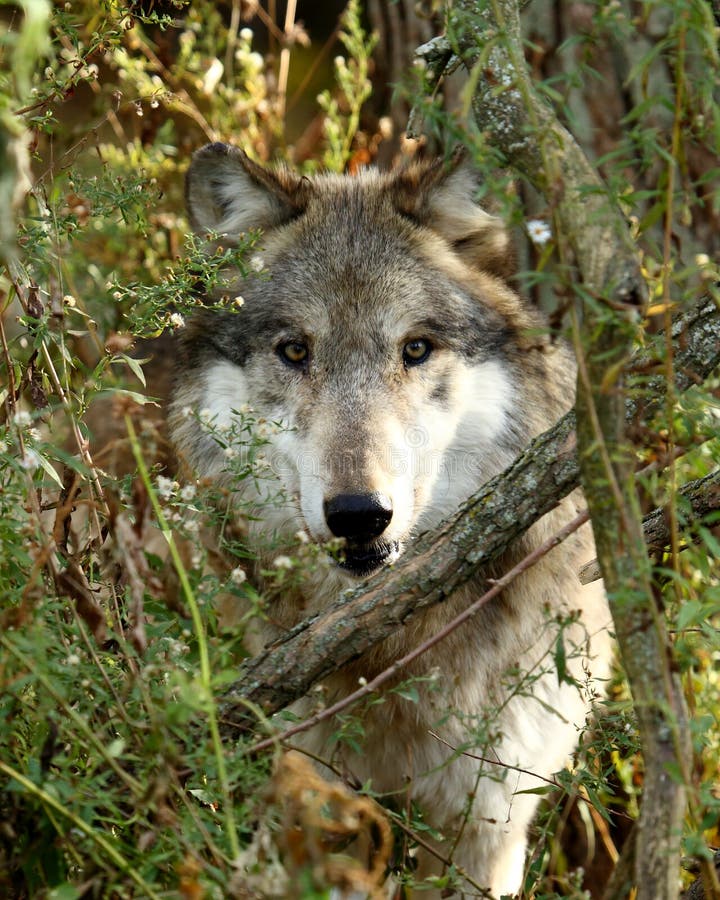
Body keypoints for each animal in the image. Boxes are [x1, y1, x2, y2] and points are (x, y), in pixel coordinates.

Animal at [169, 142, 612, 898]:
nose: (358, 516)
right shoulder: (310, 787)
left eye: (416, 349)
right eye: (295, 351)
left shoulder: (486, 819)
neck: (395, 651)